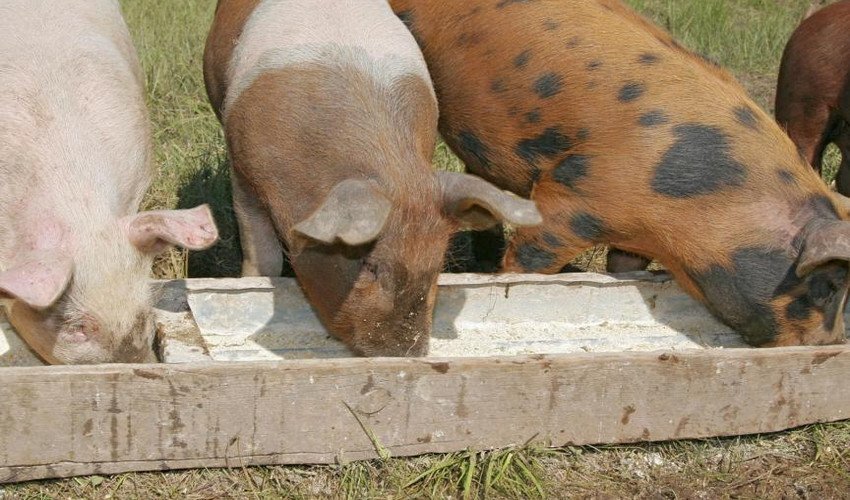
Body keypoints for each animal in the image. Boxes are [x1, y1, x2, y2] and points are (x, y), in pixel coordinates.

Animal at [202, 0, 540, 356]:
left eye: (437, 265)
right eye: (368, 265)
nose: (406, 353)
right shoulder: (242, 174)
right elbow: (262, 256)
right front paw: (251, 281)